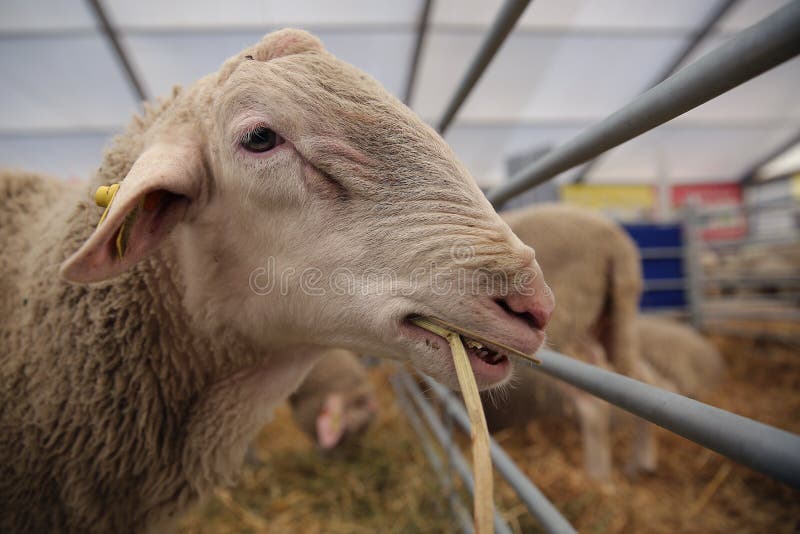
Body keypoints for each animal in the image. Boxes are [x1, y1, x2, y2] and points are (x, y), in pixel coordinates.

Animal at [483, 203, 643, 481]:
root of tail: (614, 242)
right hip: (611, 321)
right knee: (642, 378)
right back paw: (640, 462)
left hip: (563, 325)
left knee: (593, 405)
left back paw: (598, 479)